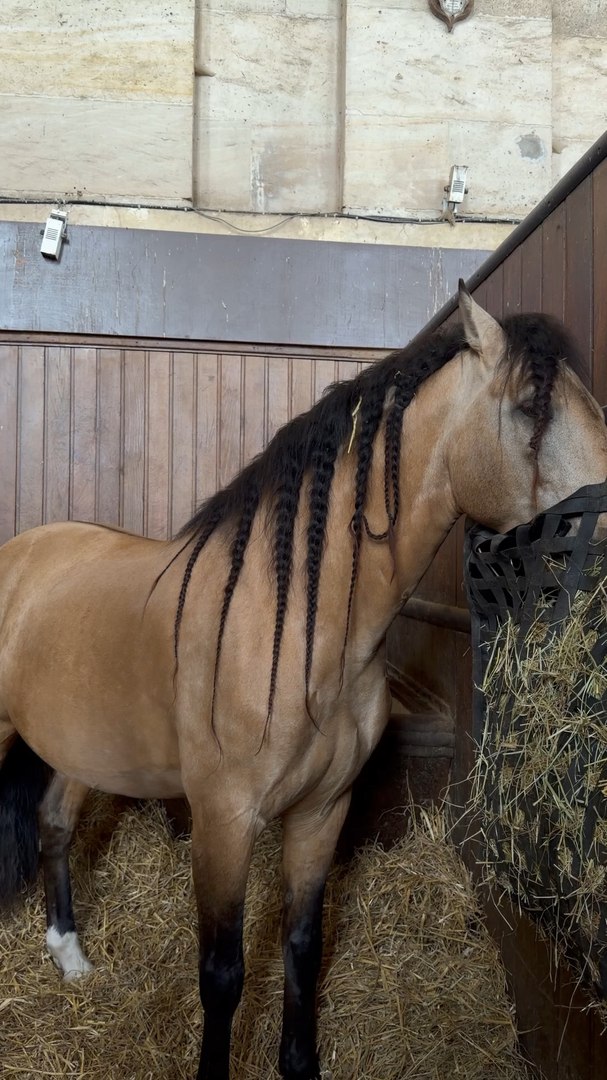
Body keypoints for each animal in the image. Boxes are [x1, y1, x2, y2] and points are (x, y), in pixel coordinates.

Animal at [1, 283, 606, 1080]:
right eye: (532, 407)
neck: (297, 631)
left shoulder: (322, 813)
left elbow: (301, 947)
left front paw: (298, 1064)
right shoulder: (224, 823)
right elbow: (222, 973)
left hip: (83, 746)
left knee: (55, 823)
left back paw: (70, 957)